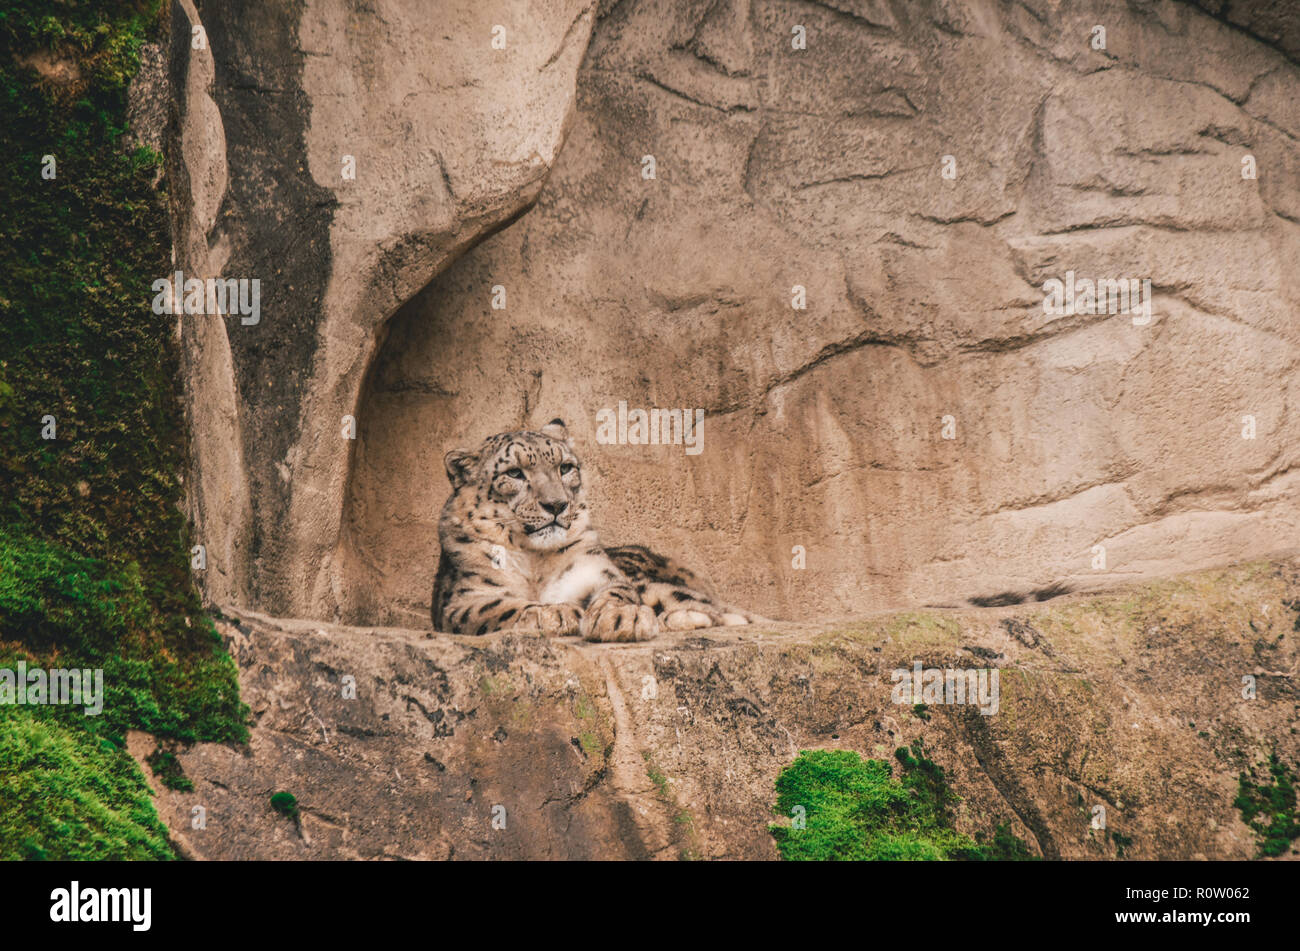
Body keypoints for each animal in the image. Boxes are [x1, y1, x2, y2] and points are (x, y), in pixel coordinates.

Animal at [430, 418, 753, 641]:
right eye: (514, 473)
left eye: (564, 467)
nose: (556, 505)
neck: (536, 561)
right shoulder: (464, 600)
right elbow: (499, 607)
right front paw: (557, 612)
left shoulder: (597, 573)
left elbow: (616, 592)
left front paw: (620, 618)